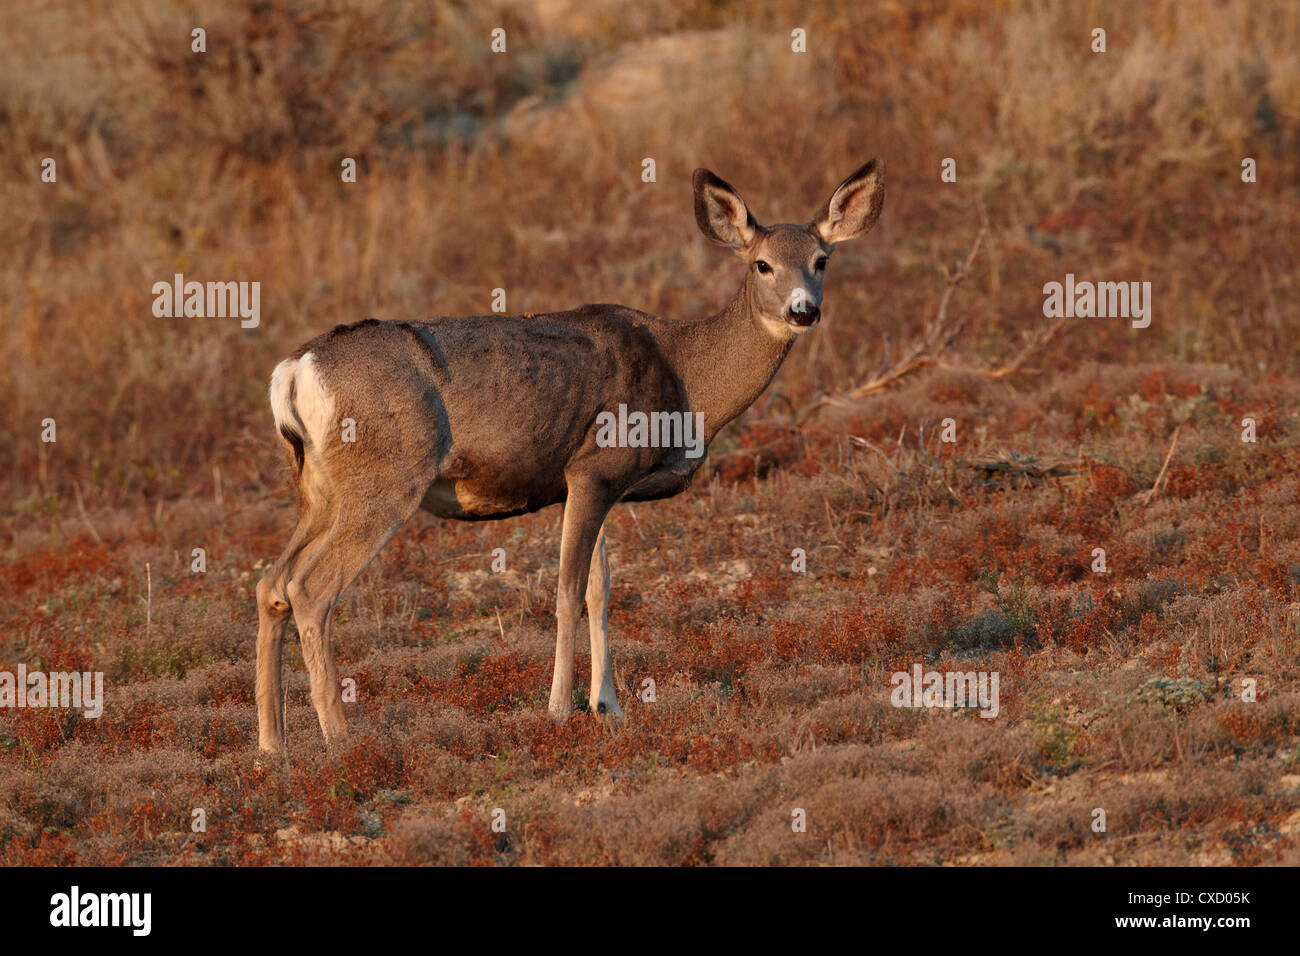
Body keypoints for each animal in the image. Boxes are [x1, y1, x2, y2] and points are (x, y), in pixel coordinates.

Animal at [255, 159, 885, 754]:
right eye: (762, 265)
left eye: (821, 260)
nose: (803, 310)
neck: (687, 377)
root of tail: (294, 371)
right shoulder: (595, 467)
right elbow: (566, 591)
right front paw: (559, 708)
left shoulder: (593, 483)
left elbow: (599, 590)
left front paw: (610, 706)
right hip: (385, 479)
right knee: (310, 589)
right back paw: (341, 738)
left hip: (319, 490)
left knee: (271, 582)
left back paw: (271, 743)